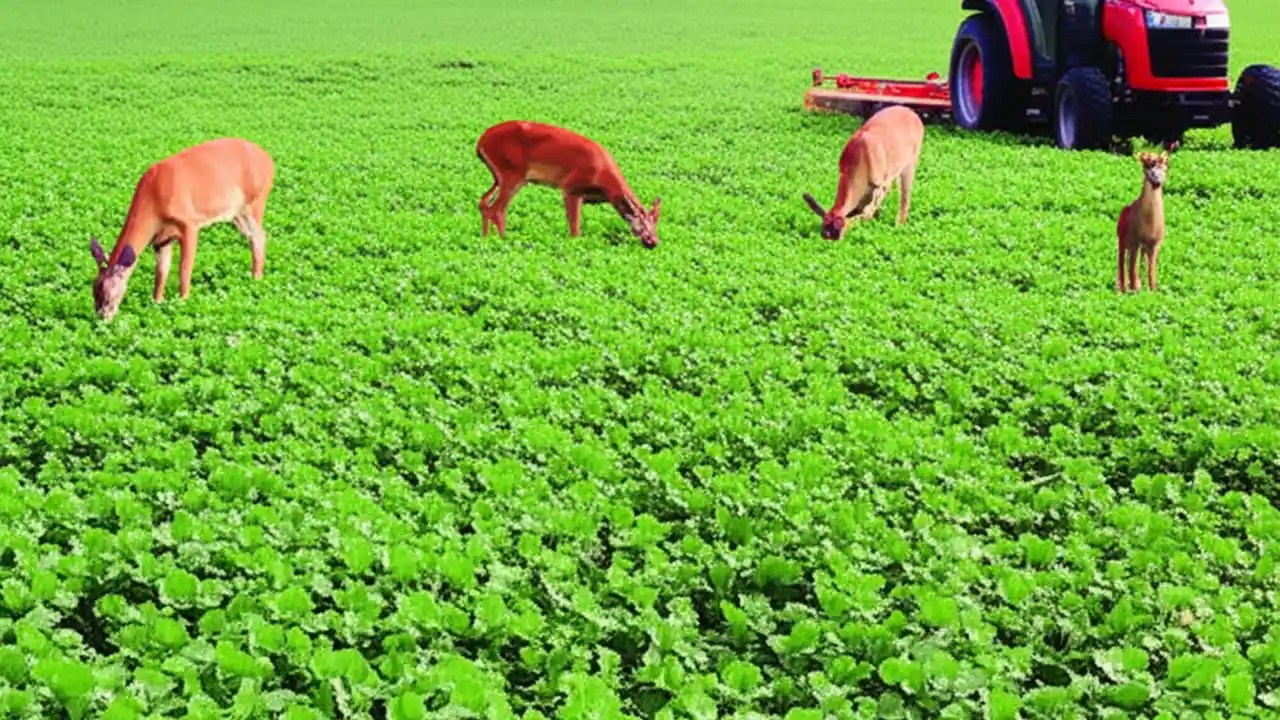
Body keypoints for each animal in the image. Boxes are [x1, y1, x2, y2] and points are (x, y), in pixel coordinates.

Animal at [89, 137, 276, 322]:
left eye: (108, 294)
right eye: (93, 290)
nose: (102, 318)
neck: (154, 199)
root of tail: (269, 160)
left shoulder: (190, 223)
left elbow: (184, 267)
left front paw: (183, 301)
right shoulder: (161, 239)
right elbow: (161, 271)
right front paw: (157, 302)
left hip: (256, 200)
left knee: (259, 236)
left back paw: (256, 279)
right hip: (237, 213)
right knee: (254, 236)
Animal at [475, 120, 661, 248]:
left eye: (655, 224)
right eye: (644, 223)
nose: (654, 242)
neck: (605, 186)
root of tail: (480, 143)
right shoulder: (571, 187)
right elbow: (574, 229)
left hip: (499, 177)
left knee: (484, 203)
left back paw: (487, 238)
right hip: (511, 172)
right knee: (496, 209)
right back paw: (503, 240)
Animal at [802, 104, 925, 240]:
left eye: (836, 234)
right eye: (823, 233)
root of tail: (913, 114)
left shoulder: (879, 182)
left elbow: (865, 212)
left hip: (911, 161)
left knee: (905, 194)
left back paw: (899, 224)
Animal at [1116, 151, 1169, 293]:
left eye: (1165, 168)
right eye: (1146, 167)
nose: (1157, 181)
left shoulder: (1156, 242)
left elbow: (1151, 271)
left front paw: (1152, 290)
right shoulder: (1135, 240)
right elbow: (1132, 268)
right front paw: (1135, 289)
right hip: (1122, 239)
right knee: (1123, 262)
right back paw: (1123, 289)